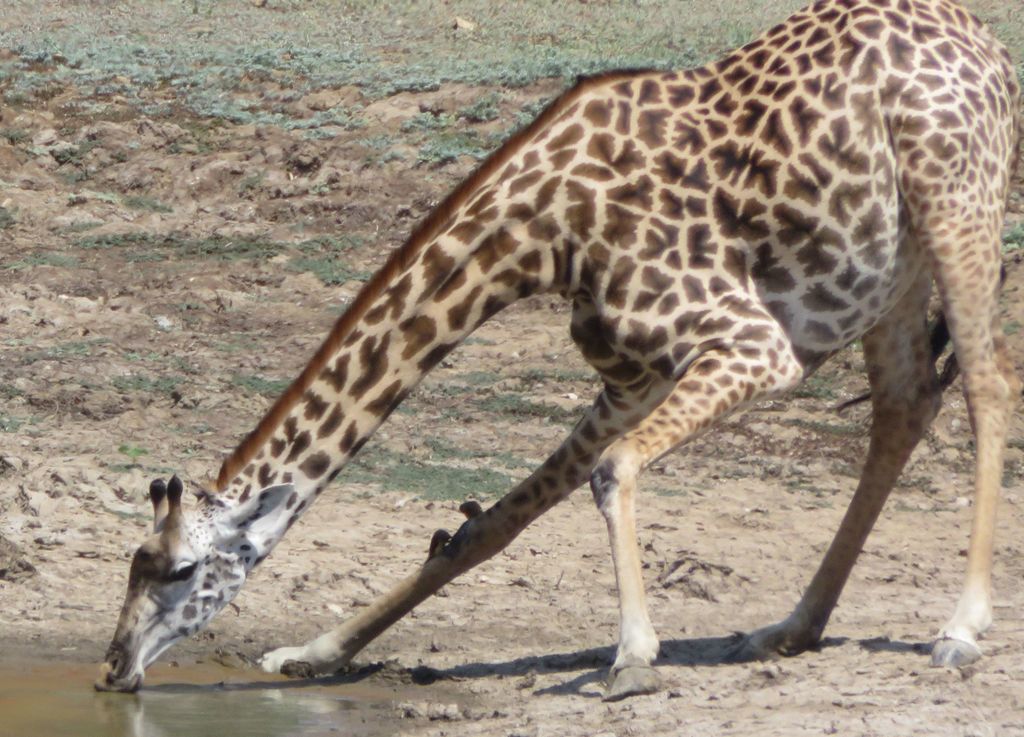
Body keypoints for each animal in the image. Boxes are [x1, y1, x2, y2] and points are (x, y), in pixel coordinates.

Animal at [97, 0, 1020, 701]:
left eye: (176, 569)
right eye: (134, 563)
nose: (112, 667)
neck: (543, 236)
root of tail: (987, 43)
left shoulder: (753, 345)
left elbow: (610, 472)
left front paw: (633, 657)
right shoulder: (629, 380)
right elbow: (487, 526)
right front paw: (313, 653)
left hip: (958, 200)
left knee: (985, 385)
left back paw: (960, 628)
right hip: (892, 274)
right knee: (905, 405)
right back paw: (790, 627)